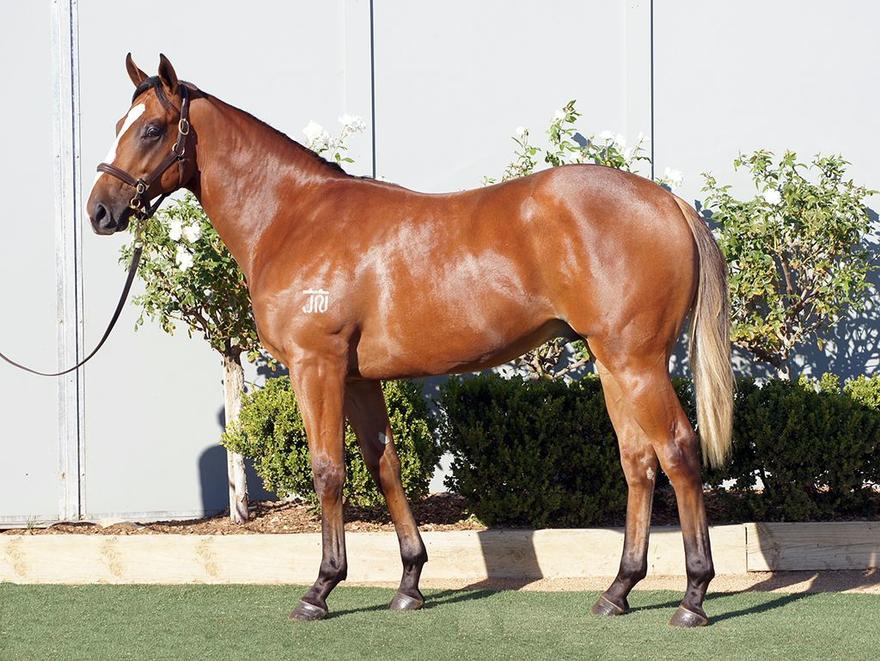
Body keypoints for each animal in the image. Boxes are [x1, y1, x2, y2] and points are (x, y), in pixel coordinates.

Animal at [86, 54, 733, 628]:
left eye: (151, 128)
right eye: (118, 124)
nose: (100, 211)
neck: (296, 217)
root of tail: (667, 201)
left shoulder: (315, 366)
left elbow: (328, 470)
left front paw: (320, 590)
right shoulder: (356, 379)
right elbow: (384, 467)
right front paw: (409, 584)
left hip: (636, 361)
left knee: (678, 451)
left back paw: (693, 598)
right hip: (612, 361)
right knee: (638, 460)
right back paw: (617, 591)